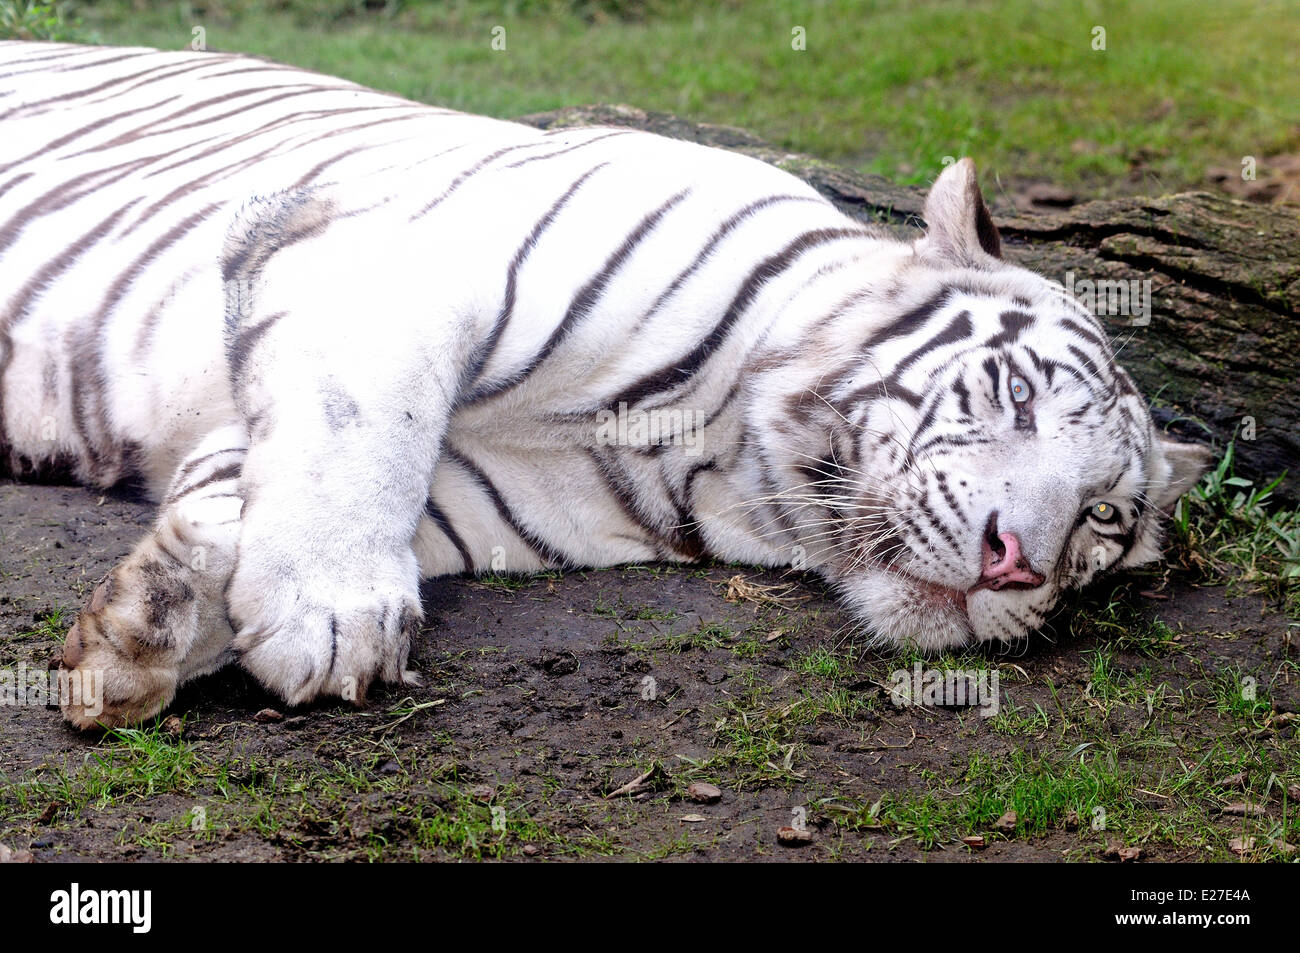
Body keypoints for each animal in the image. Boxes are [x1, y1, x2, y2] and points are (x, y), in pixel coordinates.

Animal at [0, 41, 1208, 730]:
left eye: (1104, 518)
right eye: (1016, 396)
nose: (1018, 566)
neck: (718, 457)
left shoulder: (472, 495)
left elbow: (255, 489)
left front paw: (139, 637)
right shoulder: (398, 265)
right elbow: (364, 434)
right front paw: (327, 615)